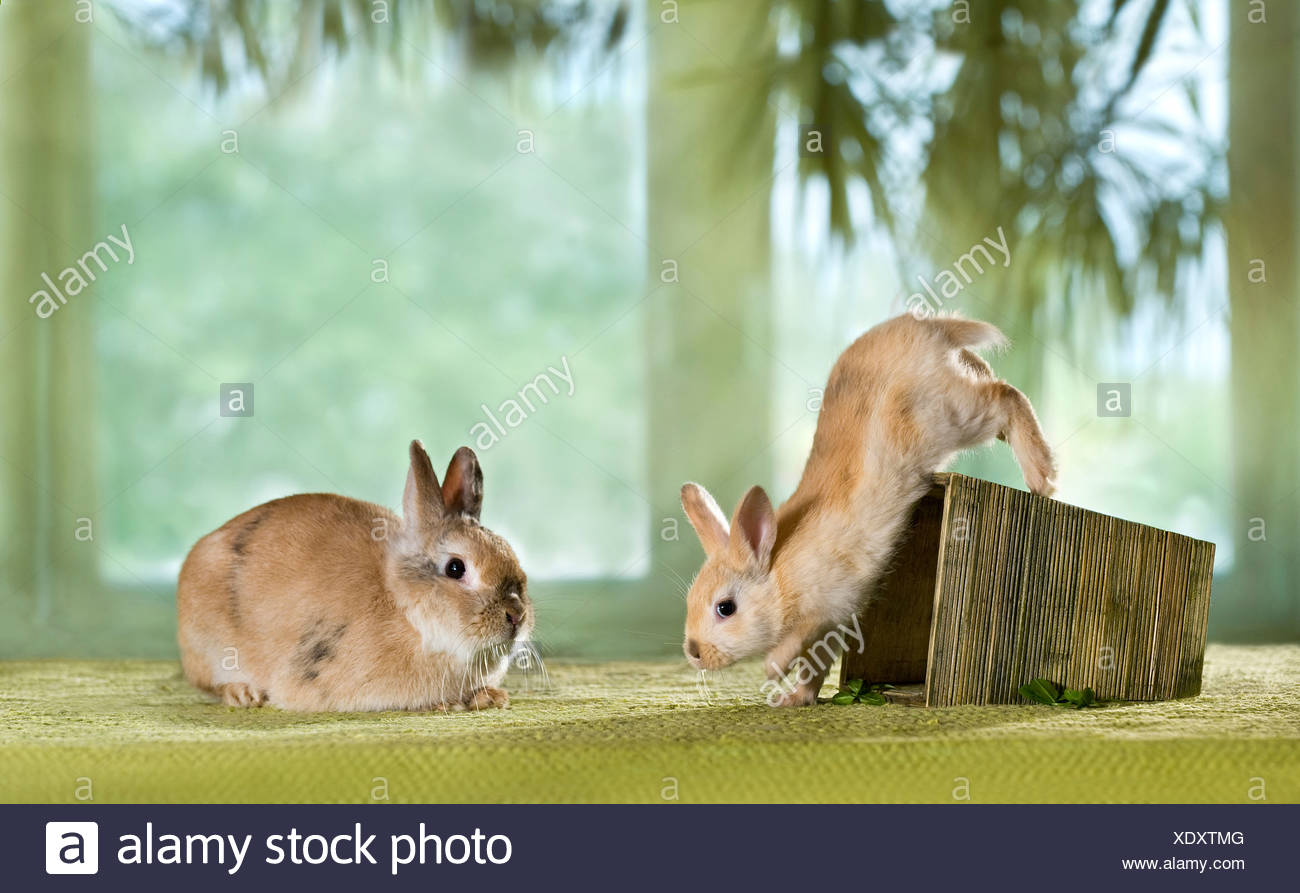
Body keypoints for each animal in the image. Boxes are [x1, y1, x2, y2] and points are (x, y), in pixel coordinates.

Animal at [177, 440, 532, 712]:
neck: (403, 607)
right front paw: (450, 703)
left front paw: (491, 697)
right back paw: (243, 693)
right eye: (456, 568)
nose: (516, 616)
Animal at [679, 313, 1056, 707]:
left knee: (1007, 396)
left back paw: (1041, 477)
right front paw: (796, 699)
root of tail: (929, 326)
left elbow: (796, 641)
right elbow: (814, 665)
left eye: (725, 608)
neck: (778, 577)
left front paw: (772, 669)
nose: (694, 652)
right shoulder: (828, 627)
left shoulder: (826, 605)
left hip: (954, 415)